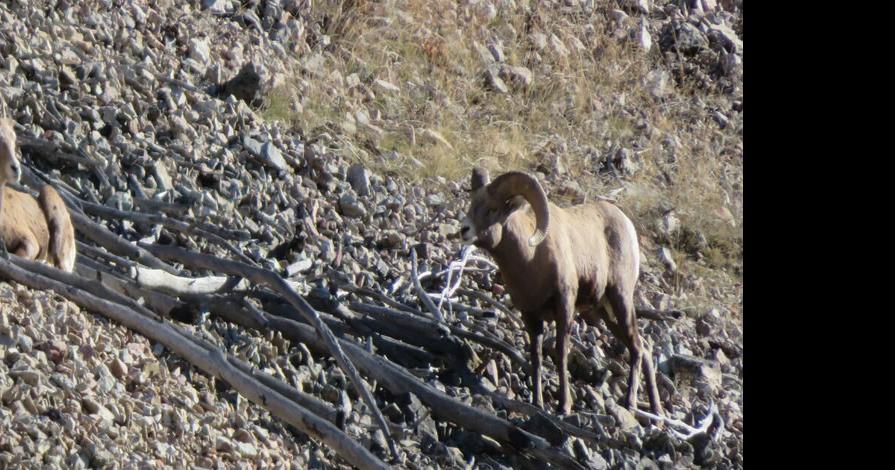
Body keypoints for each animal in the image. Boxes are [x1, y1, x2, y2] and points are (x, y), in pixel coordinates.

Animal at [459, 168, 663, 416]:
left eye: (493, 209)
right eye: (472, 204)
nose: (464, 229)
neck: (531, 259)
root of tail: (627, 225)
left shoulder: (564, 306)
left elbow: (561, 352)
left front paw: (564, 407)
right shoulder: (530, 316)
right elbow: (536, 356)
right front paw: (536, 403)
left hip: (620, 299)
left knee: (637, 347)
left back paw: (630, 404)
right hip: (607, 314)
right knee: (644, 348)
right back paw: (656, 412)